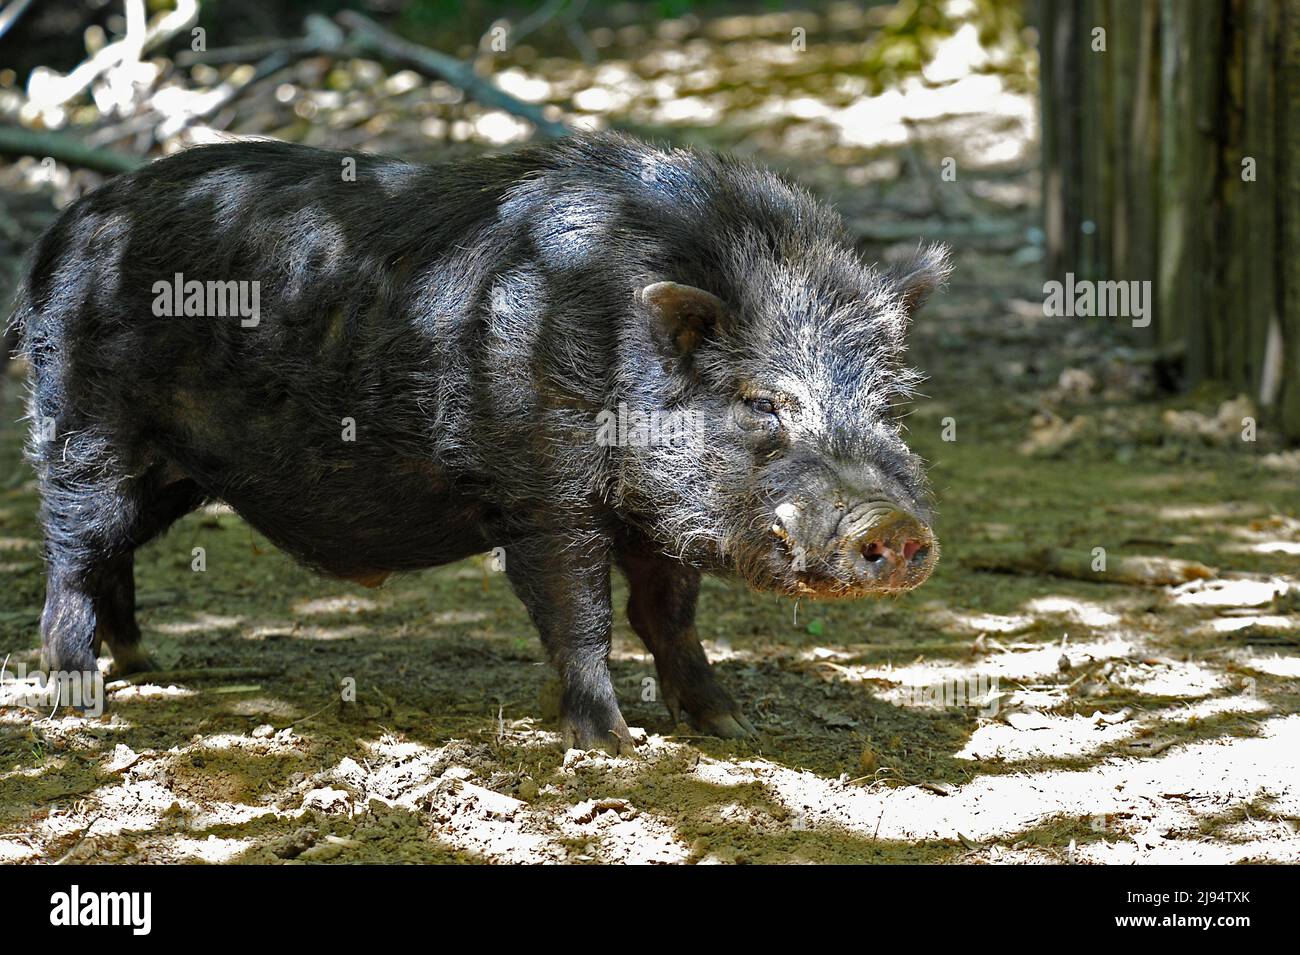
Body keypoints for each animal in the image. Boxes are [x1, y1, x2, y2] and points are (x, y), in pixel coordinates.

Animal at [11, 133, 948, 753]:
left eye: (889, 402)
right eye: (761, 403)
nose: (895, 528)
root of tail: (59, 238)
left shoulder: (656, 510)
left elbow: (669, 615)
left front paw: (729, 722)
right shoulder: (542, 492)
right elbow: (580, 612)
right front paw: (611, 745)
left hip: (171, 467)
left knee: (114, 553)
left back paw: (144, 659)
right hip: (87, 428)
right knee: (72, 550)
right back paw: (81, 699)